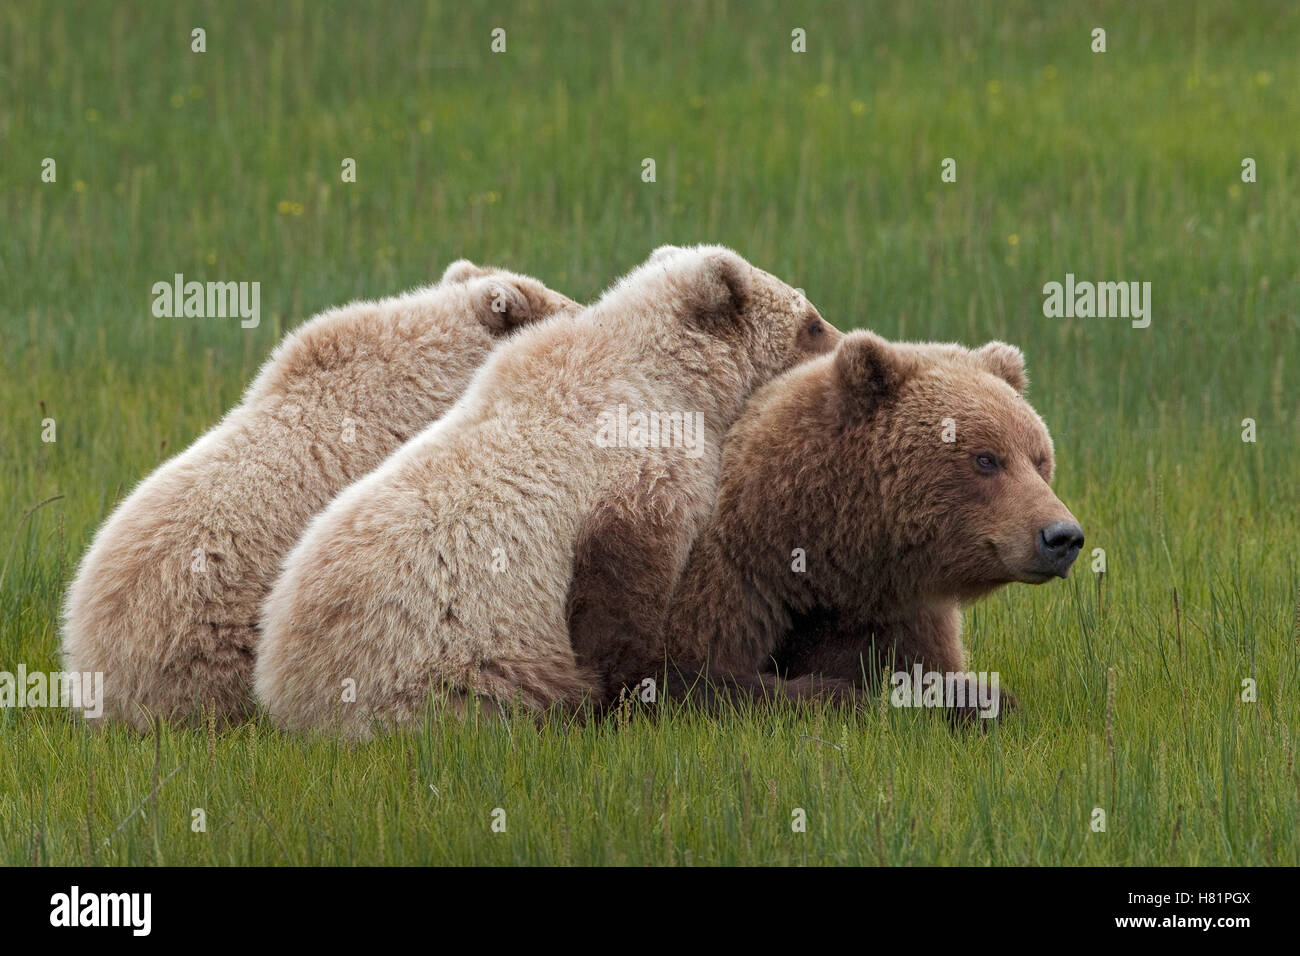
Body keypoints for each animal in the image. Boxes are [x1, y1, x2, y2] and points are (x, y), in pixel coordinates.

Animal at [254, 244, 842, 737]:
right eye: (811, 322)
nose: (845, 341)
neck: (679, 389)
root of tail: (287, 696)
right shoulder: (632, 483)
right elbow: (620, 620)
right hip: (449, 675)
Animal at [651, 329, 1083, 719]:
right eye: (986, 459)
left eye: (1039, 459)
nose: (1063, 536)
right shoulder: (732, 580)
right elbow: (693, 679)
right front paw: (843, 697)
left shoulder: (896, 611)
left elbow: (931, 674)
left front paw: (982, 702)